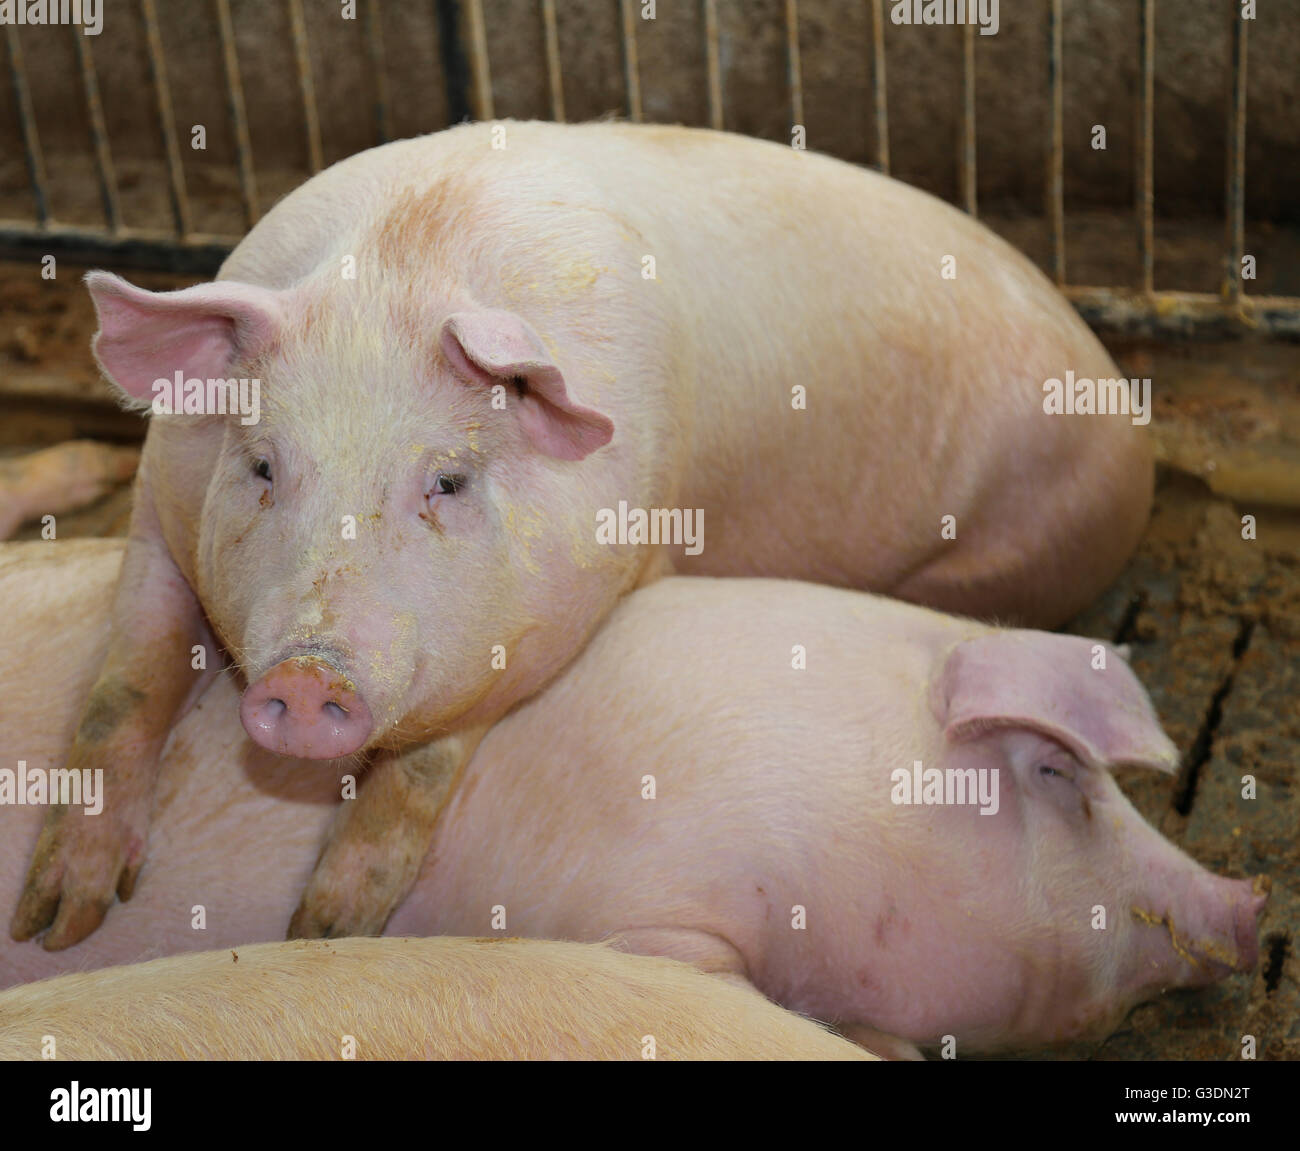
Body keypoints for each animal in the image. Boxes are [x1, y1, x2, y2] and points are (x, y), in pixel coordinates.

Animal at [9, 119, 1153, 949]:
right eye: (260, 464)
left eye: (448, 480)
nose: (302, 678)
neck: (408, 258)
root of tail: (1121, 407)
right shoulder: (162, 504)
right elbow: (126, 683)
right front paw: (58, 920)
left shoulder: (585, 592)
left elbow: (427, 761)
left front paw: (322, 931)